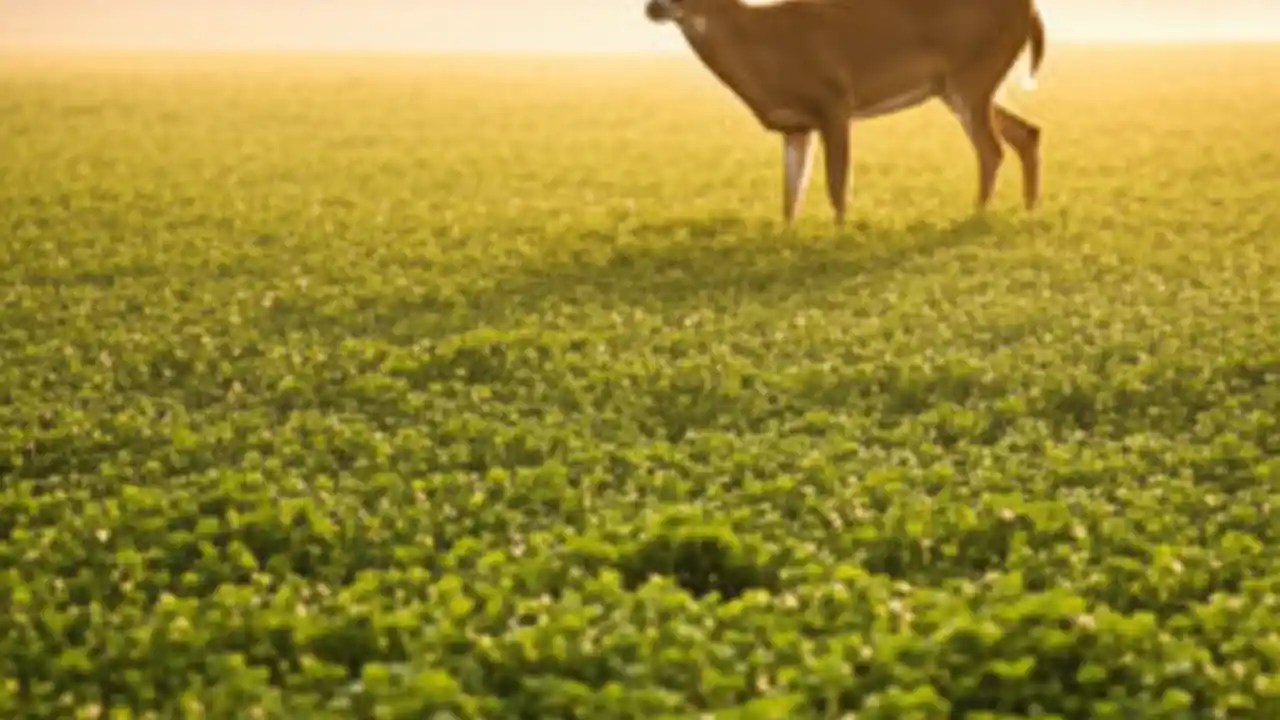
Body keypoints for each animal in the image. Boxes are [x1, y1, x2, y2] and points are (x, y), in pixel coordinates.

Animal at [645, 0, 1048, 225]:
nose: (652, 7)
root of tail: (1030, 10)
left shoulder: (834, 101)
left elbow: (835, 183)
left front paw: (839, 231)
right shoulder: (796, 127)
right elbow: (791, 193)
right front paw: (787, 235)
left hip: (972, 76)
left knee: (991, 149)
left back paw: (976, 214)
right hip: (957, 87)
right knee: (1027, 132)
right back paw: (1027, 209)